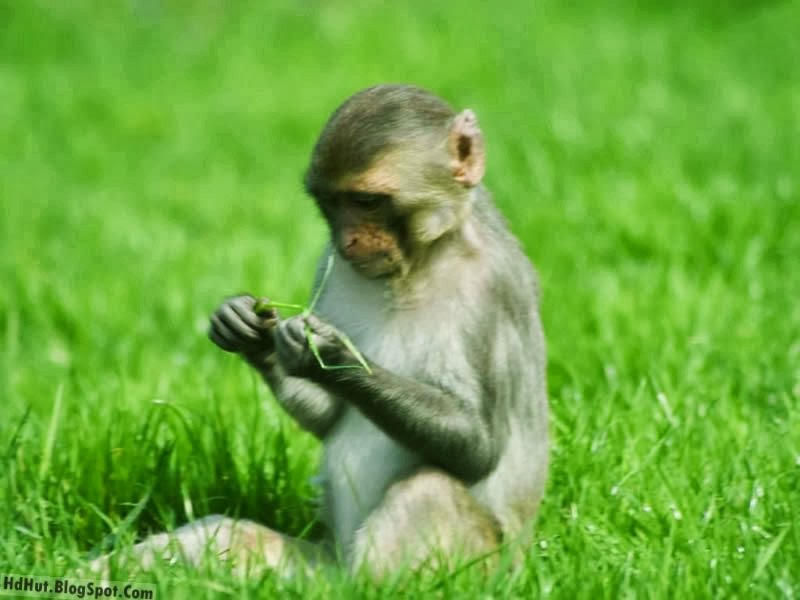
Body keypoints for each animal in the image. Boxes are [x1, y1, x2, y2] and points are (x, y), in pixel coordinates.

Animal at [92, 84, 548, 578]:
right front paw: (251, 332)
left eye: (367, 202)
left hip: (484, 560)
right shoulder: (328, 266)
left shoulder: (494, 287)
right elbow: (330, 416)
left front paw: (328, 355)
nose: (348, 241)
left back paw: (362, 586)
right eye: (330, 203)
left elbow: (480, 446)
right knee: (226, 535)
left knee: (427, 488)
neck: (420, 265)